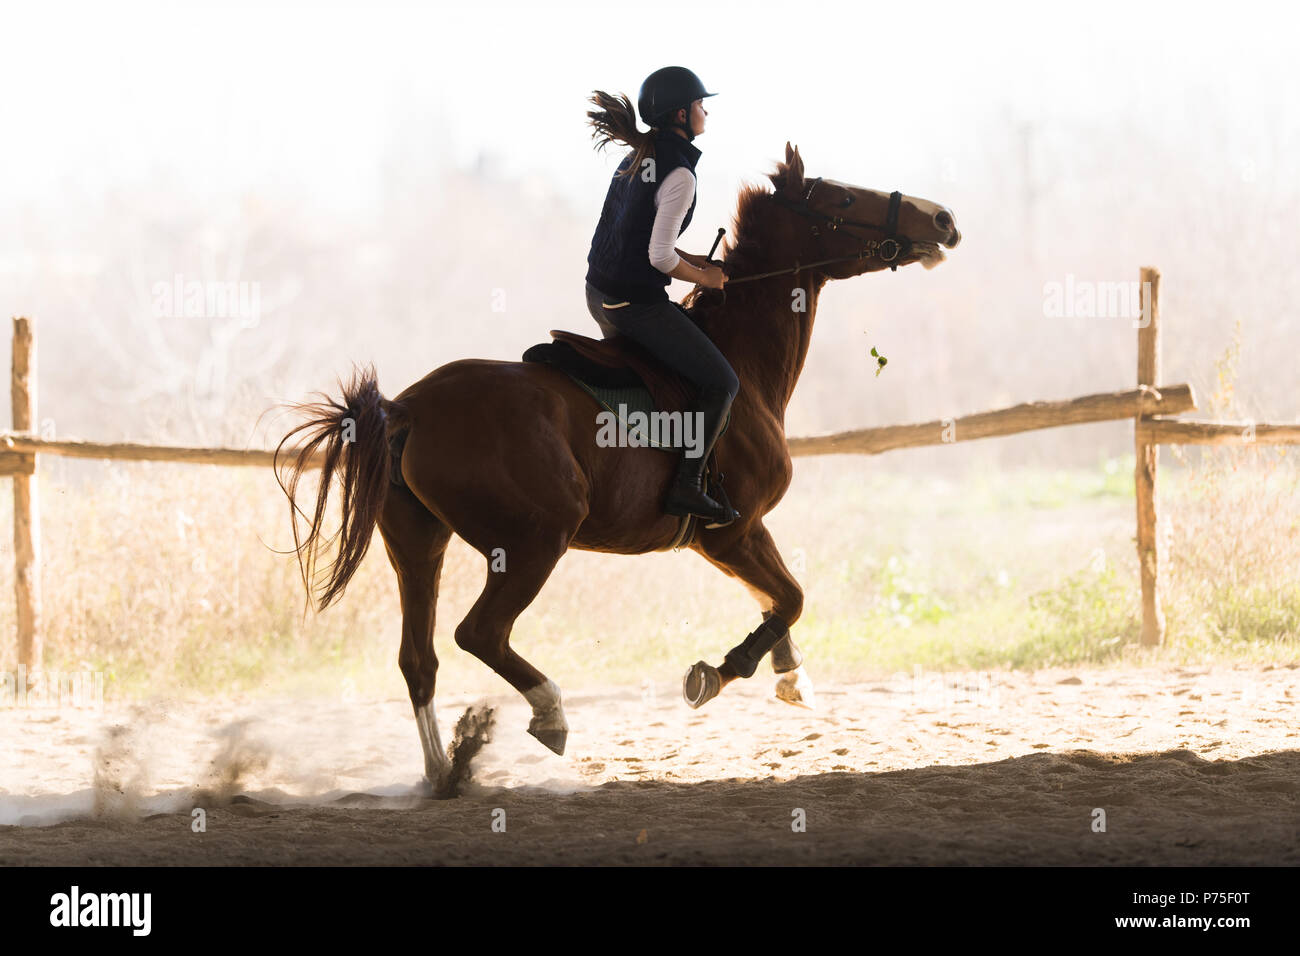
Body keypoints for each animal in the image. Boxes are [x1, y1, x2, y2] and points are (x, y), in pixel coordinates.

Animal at [275, 143, 960, 789]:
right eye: (841, 199)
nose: (943, 218)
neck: (743, 359)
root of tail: (409, 405)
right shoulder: (728, 534)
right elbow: (788, 596)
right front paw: (721, 672)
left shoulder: (738, 534)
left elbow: (777, 597)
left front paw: (790, 674)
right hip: (535, 540)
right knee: (480, 634)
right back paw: (548, 715)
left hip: (419, 547)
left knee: (419, 660)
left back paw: (443, 774)